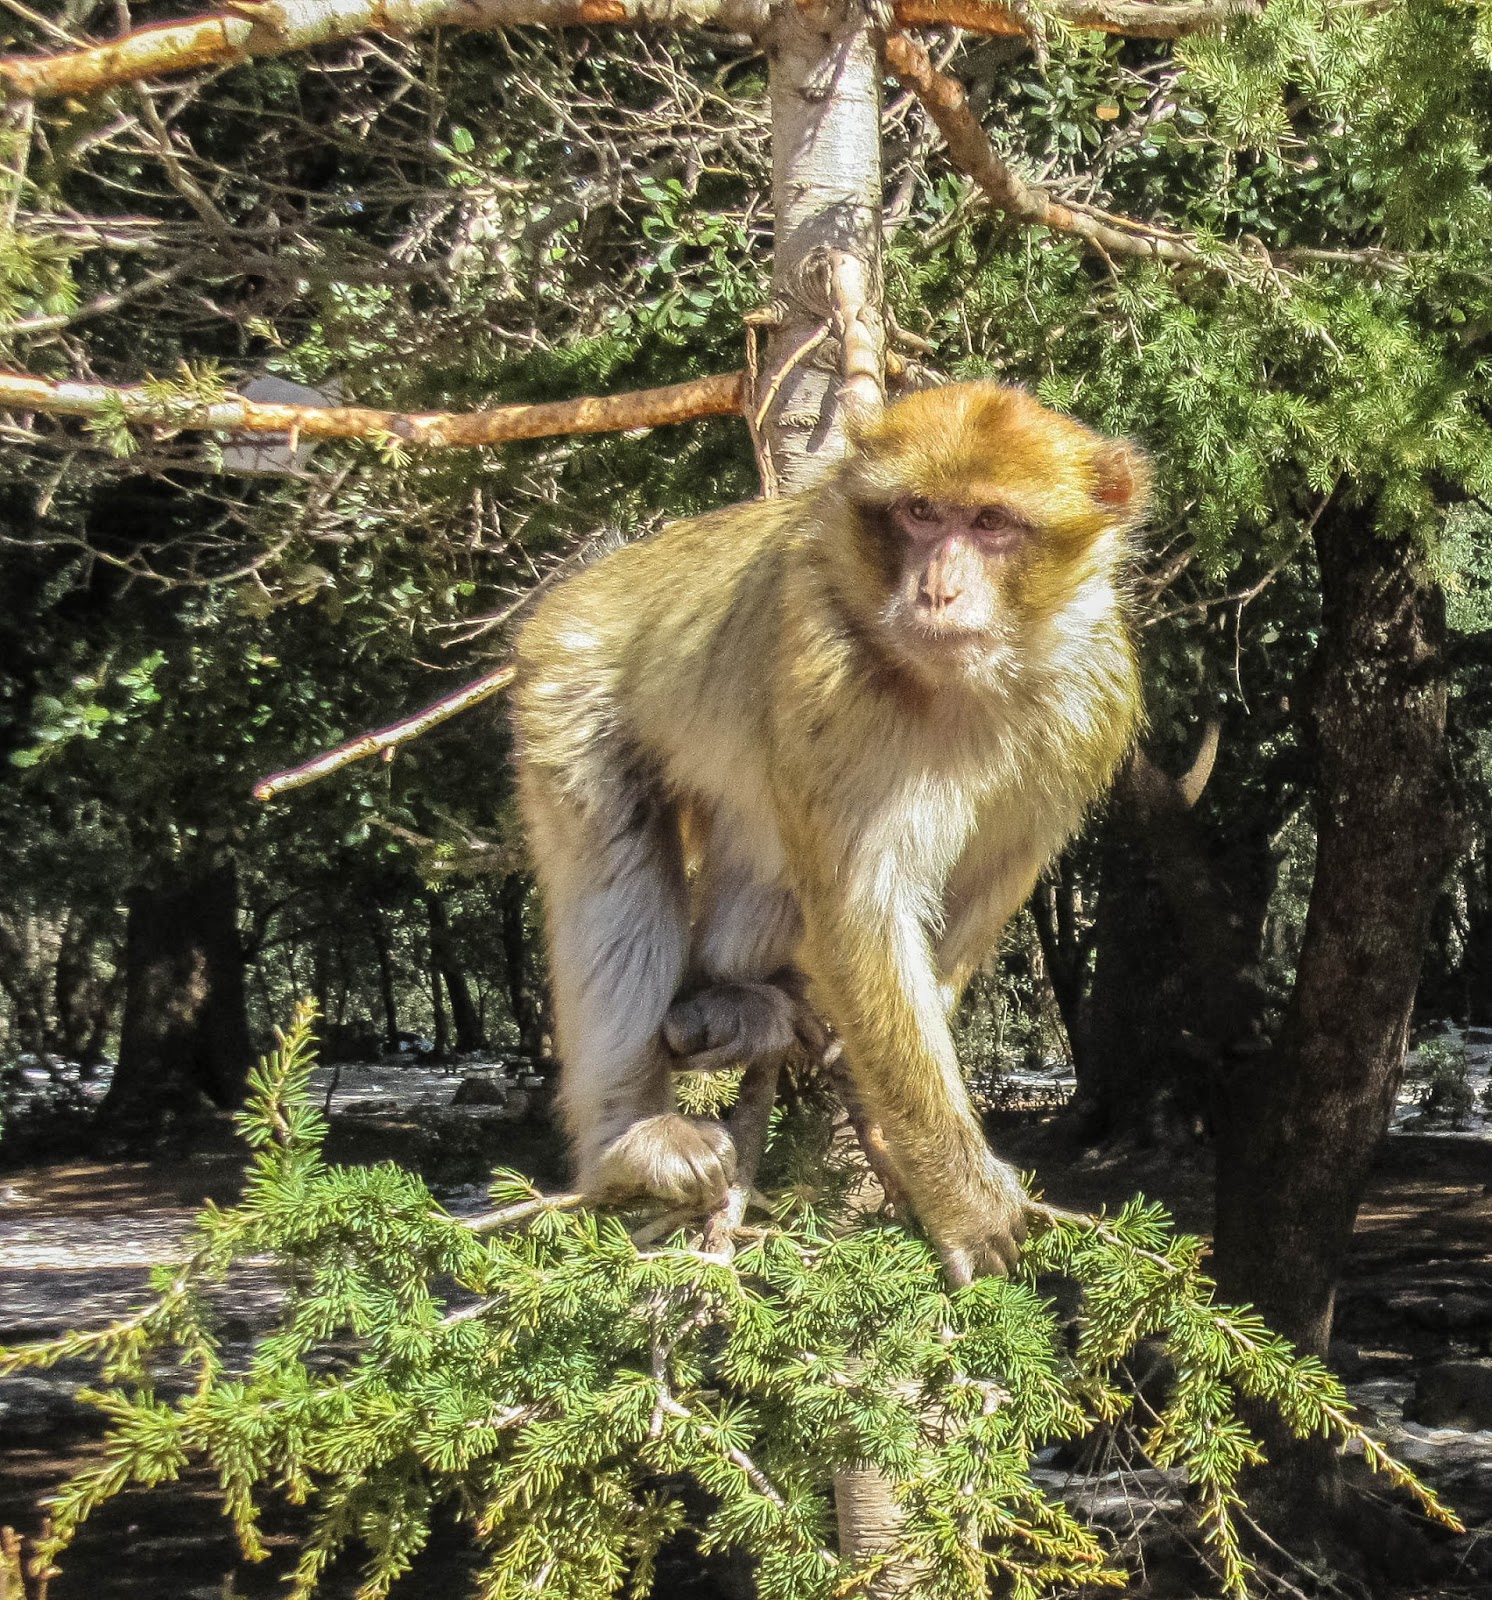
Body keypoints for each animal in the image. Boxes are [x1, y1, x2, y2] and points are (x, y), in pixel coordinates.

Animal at [511, 382, 1146, 1282]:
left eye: (991, 521)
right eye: (921, 512)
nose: (937, 592)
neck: (962, 683)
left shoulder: (1094, 693)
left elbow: (996, 876)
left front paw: (896, 1066)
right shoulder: (826, 674)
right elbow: (859, 907)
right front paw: (960, 1197)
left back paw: (725, 999)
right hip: (568, 681)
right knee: (613, 864)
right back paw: (631, 1145)